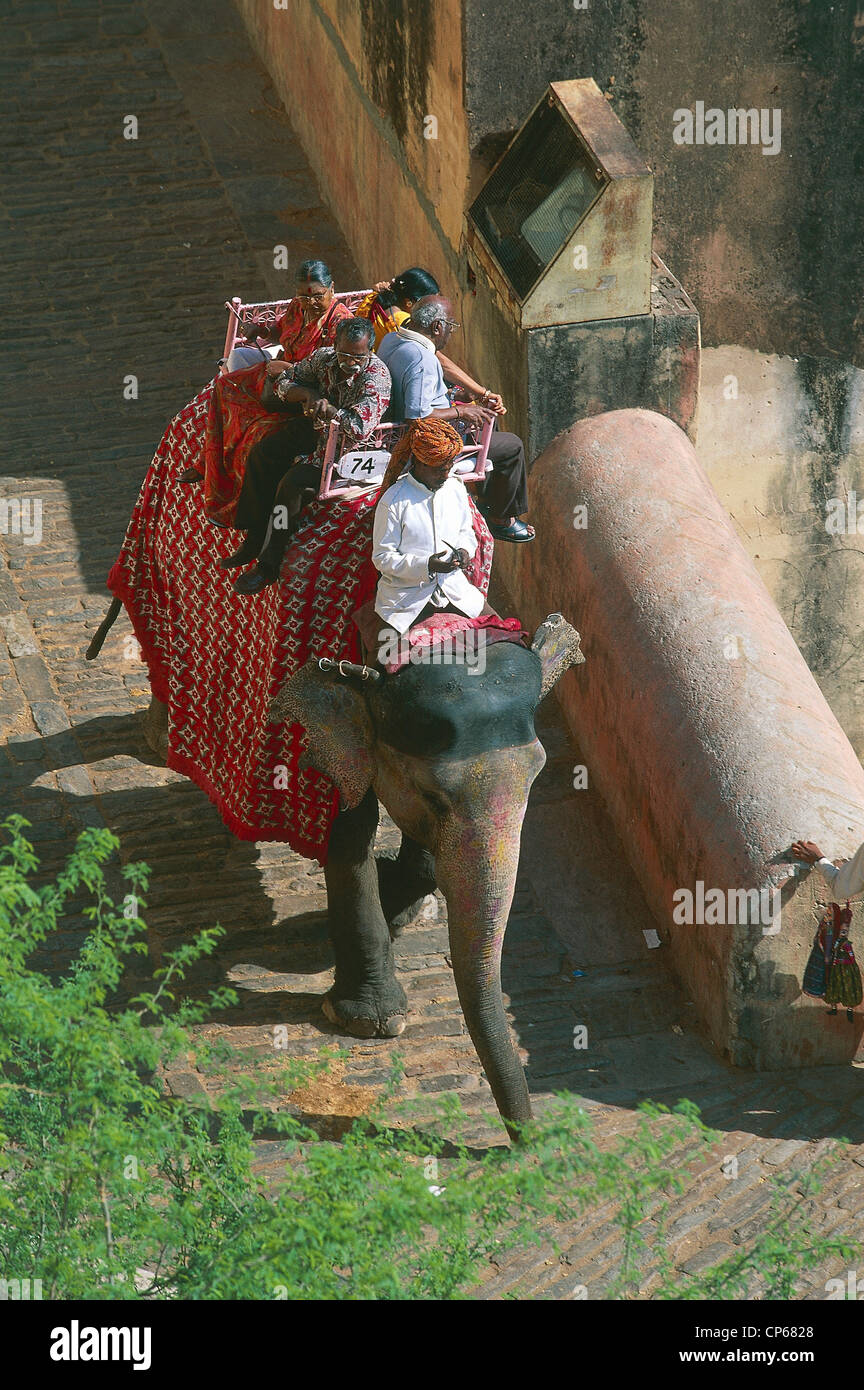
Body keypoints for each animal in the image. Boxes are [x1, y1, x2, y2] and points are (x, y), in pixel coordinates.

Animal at [271, 614, 584, 1138]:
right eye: (433, 796)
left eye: (536, 779)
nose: (525, 1141)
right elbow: (350, 819)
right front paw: (372, 1022)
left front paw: (400, 901)